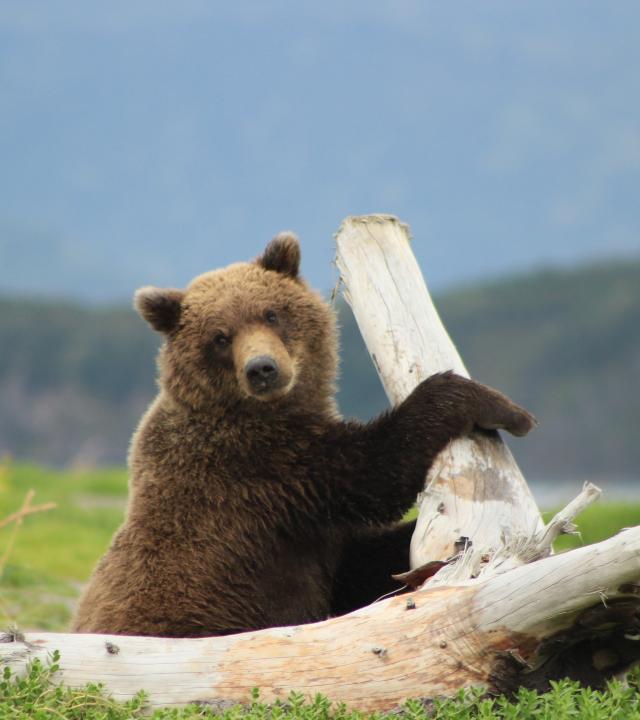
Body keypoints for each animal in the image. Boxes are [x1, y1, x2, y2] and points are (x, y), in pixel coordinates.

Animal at [72, 233, 535, 637]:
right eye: (220, 336)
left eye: (271, 313)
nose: (262, 368)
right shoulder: (269, 471)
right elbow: (378, 472)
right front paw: (501, 406)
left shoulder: (311, 533)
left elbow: (361, 564)